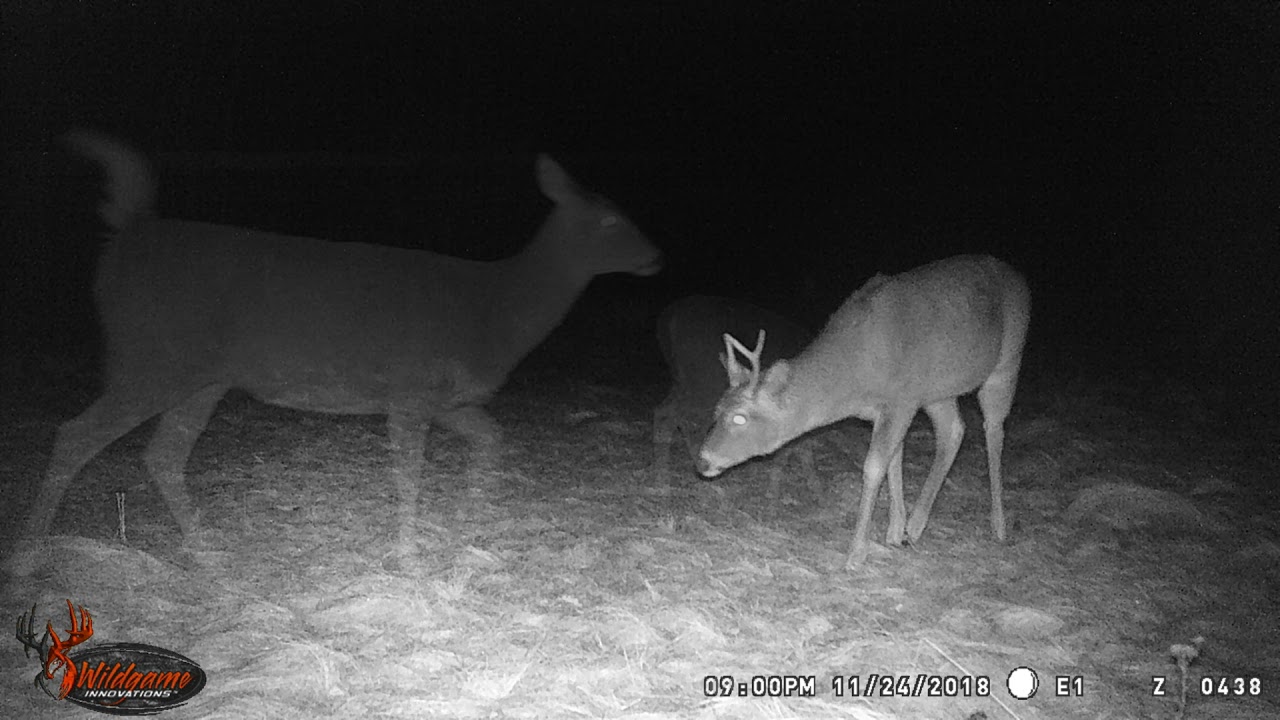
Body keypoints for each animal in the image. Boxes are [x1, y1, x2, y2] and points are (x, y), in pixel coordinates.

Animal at [6, 130, 661, 575]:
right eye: (610, 220)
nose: (656, 254)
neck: (496, 310)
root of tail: (128, 234)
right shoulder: (411, 389)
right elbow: (408, 473)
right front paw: (408, 553)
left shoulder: (450, 400)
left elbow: (494, 442)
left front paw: (473, 524)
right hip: (153, 356)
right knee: (76, 434)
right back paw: (28, 556)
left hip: (202, 376)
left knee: (162, 454)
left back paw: (207, 549)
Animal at [652, 296, 822, 501]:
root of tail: (666, 320)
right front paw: (807, 486)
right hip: (701, 380)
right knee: (684, 418)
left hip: (680, 378)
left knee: (664, 412)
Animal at [697, 255, 1030, 567]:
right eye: (716, 411)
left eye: (740, 417)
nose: (702, 461)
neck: (855, 375)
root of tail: (1018, 278)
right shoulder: (893, 406)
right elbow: (894, 460)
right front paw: (895, 531)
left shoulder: (902, 399)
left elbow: (873, 467)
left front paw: (857, 553)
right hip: (937, 391)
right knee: (954, 431)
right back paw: (915, 526)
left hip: (1006, 362)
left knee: (993, 430)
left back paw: (998, 526)